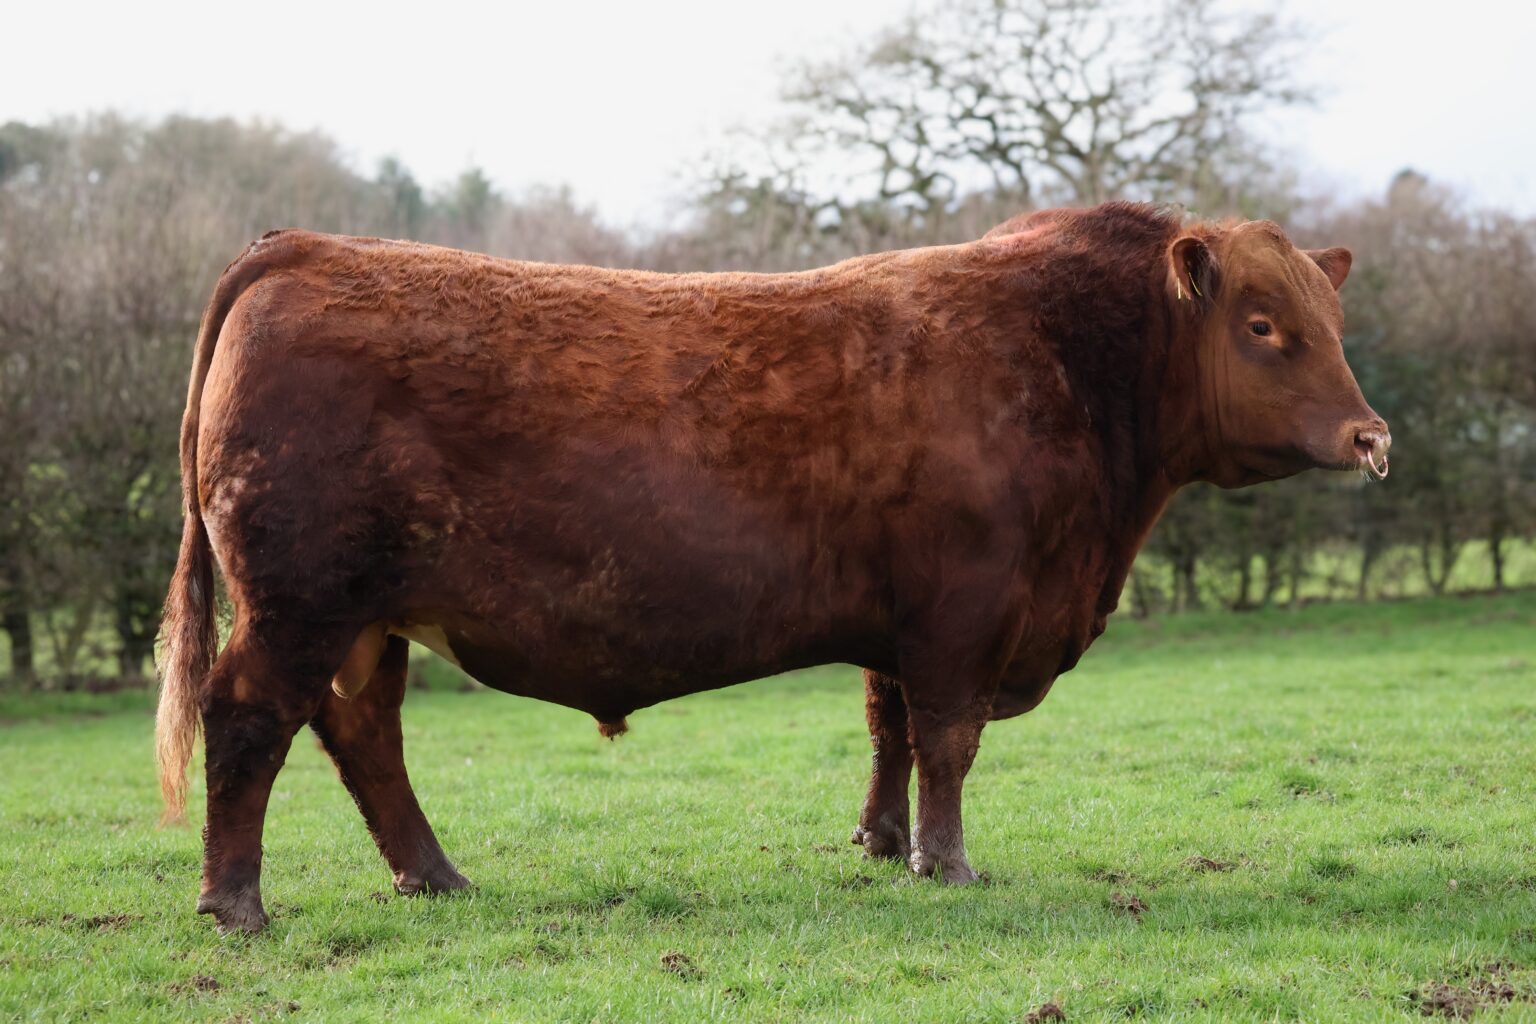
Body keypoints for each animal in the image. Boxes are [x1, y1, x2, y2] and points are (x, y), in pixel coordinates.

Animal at [155, 202, 1389, 933]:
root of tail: (305, 248)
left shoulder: (902, 621)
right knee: (250, 717)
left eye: (1331, 319)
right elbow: (948, 741)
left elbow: (891, 730)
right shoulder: (965, 612)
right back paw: (236, 902)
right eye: (1265, 325)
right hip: (298, 603)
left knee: (363, 734)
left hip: (367, 621)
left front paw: (883, 844)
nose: (1371, 435)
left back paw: (435, 876)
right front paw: (947, 865)